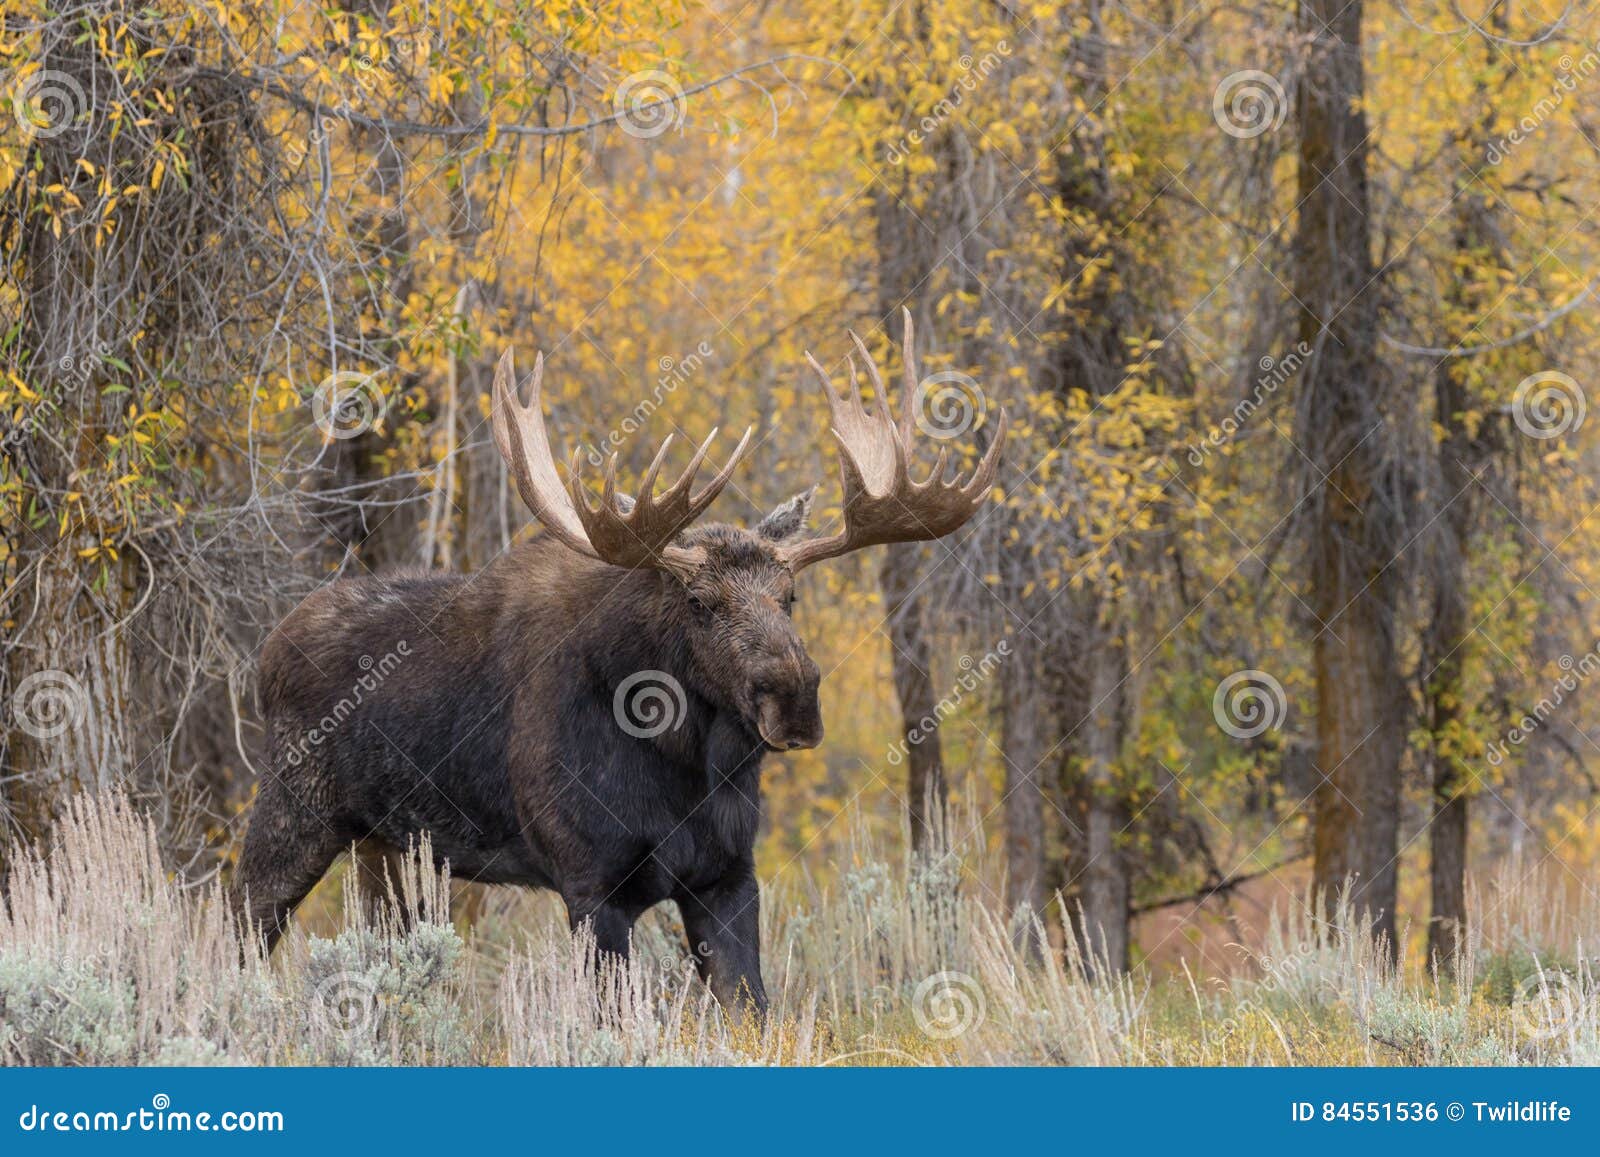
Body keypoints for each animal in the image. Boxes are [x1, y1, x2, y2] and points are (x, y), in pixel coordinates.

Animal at [234, 312, 1006, 1016]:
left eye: (790, 595)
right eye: (698, 601)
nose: (794, 699)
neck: (686, 769)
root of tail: (266, 652)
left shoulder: (729, 876)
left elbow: (752, 1009)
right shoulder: (590, 883)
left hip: (386, 849)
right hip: (293, 813)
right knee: (236, 929)